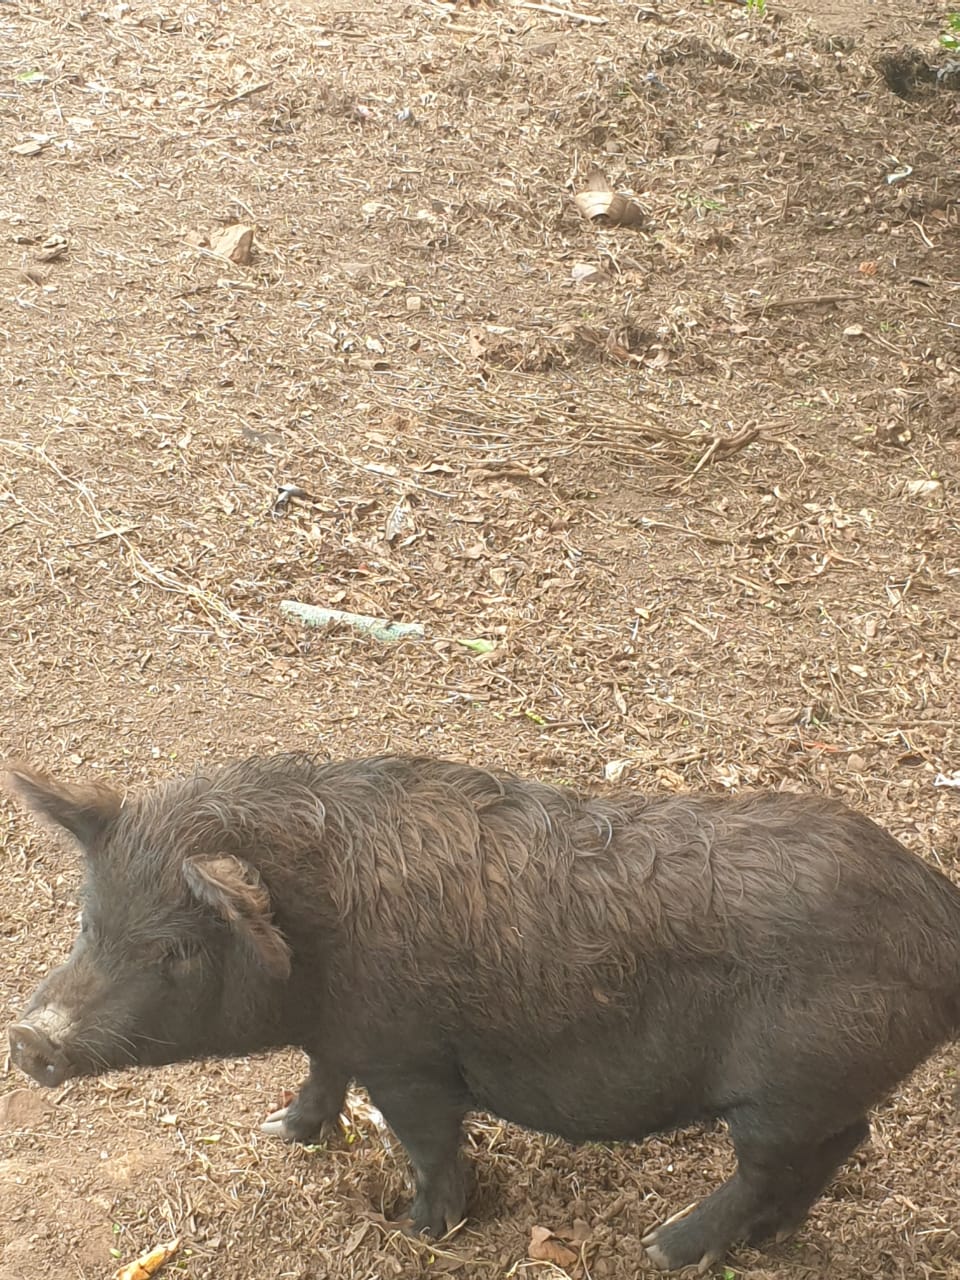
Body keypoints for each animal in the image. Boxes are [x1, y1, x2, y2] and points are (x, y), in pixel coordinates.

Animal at [6, 753, 960, 1272]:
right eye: (90, 923)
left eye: (176, 952)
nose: (27, 1036)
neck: (316, 941)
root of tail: (937, 912)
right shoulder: (344, 1039)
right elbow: (320, 1072)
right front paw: (279, 1131)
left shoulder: (409, 1059)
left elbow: (428, 1141)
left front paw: (419, 1231)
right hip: (816, 1090)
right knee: (844, 1142)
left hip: (791, 1085)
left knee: (782, 1160)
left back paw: (663, 1250)